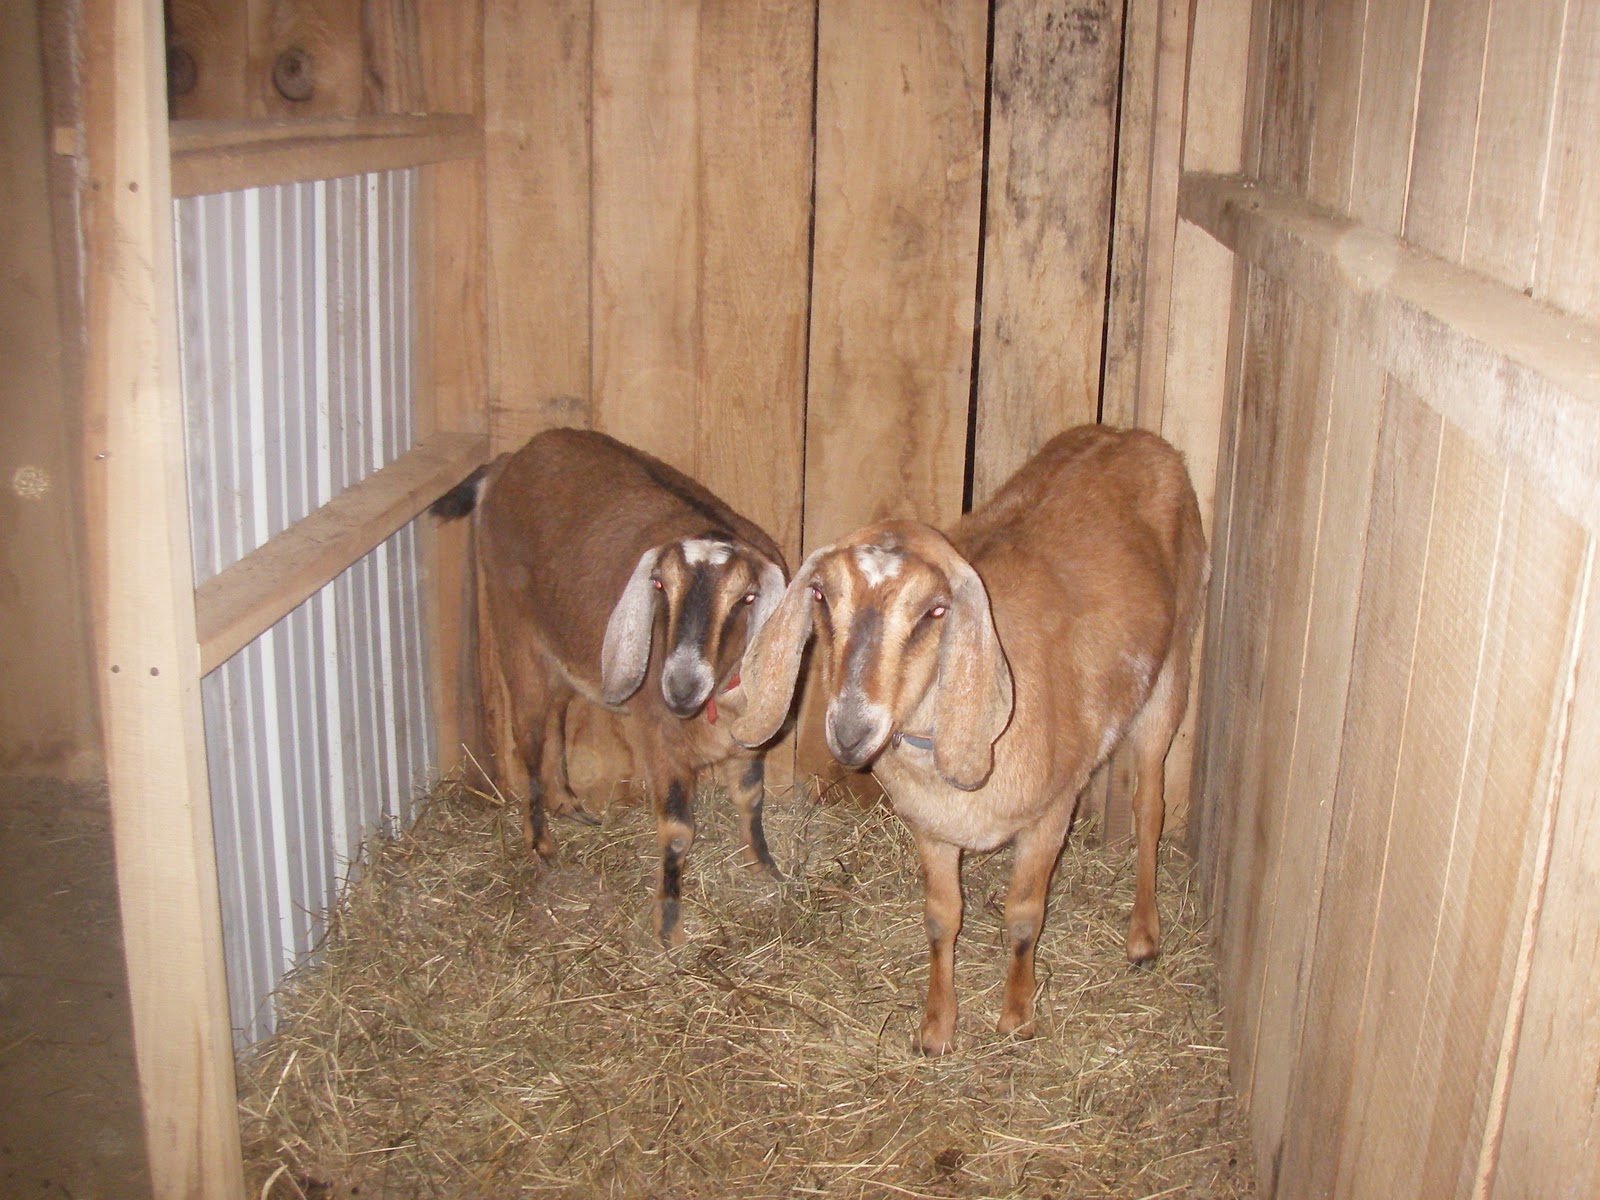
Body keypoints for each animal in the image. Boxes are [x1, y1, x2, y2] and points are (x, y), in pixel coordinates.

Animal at [433, 428, 789, 943]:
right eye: (659, 586)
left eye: (747, 598)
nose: (679, 687)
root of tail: (508, 462)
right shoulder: (660, 742)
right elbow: (677, 831)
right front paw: (667, 925)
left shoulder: (749, 740)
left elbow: (750, 798)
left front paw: (767, 870)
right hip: (516, 635)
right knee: (529, 737)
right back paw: (541, 843)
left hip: (562, 657)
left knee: (557, 724)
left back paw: (570, 804)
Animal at [730, 424, 1208, 1053]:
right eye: (821, 597)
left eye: (936, 611)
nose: (852, 730)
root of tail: (1139, 436)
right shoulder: (930, 826)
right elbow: (941, 917)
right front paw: (937, 1028)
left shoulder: (1050, 814)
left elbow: (1024, 915)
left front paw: (1017, 1017)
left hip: (1172, 665)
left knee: (1150, 805)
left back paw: (1144, 939)